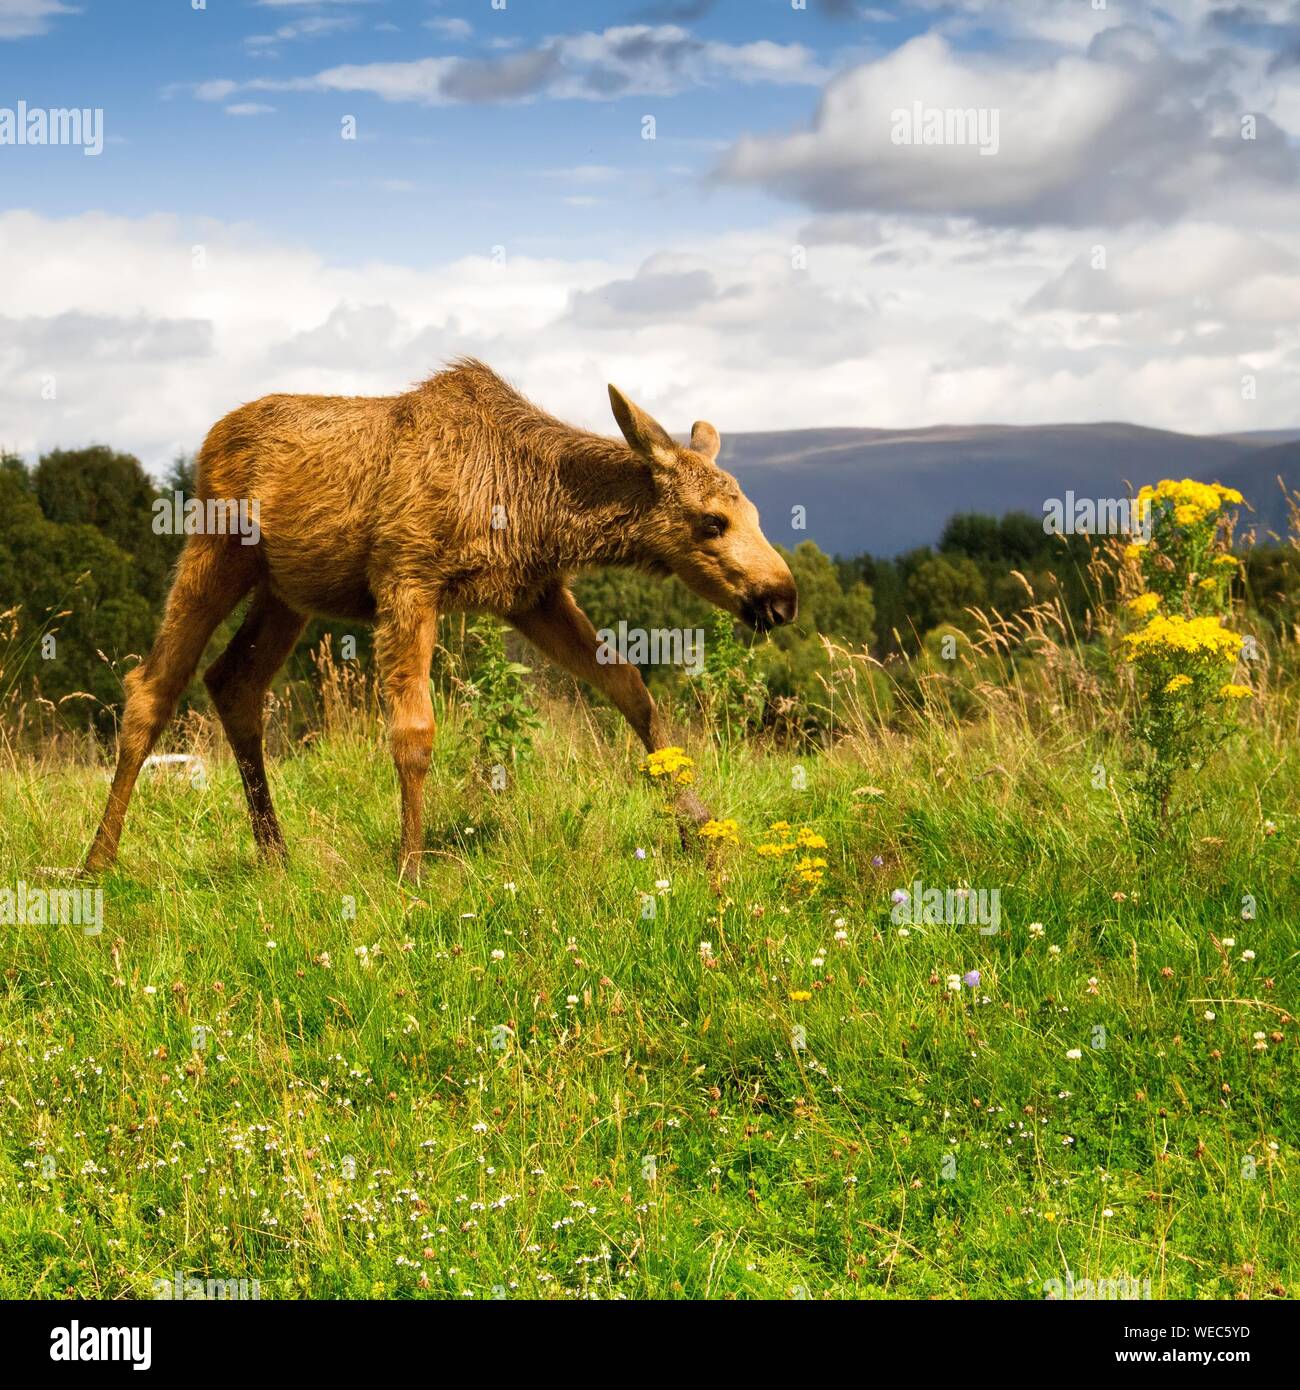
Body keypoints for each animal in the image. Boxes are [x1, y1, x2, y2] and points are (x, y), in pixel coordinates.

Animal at [84, 359, 798, 881]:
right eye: (712, 521)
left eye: (758, 512)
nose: (783, 597)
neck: (534, 504)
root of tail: (209, 440)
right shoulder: (408, 578)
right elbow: (415, 732)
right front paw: (411, 869)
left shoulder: (532, 596)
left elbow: (631, 689)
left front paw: (701, 833)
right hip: (216, 550)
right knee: (150, 688)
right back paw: (97, 861)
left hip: (288, 592)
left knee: (234, 683)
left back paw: (275, 854)